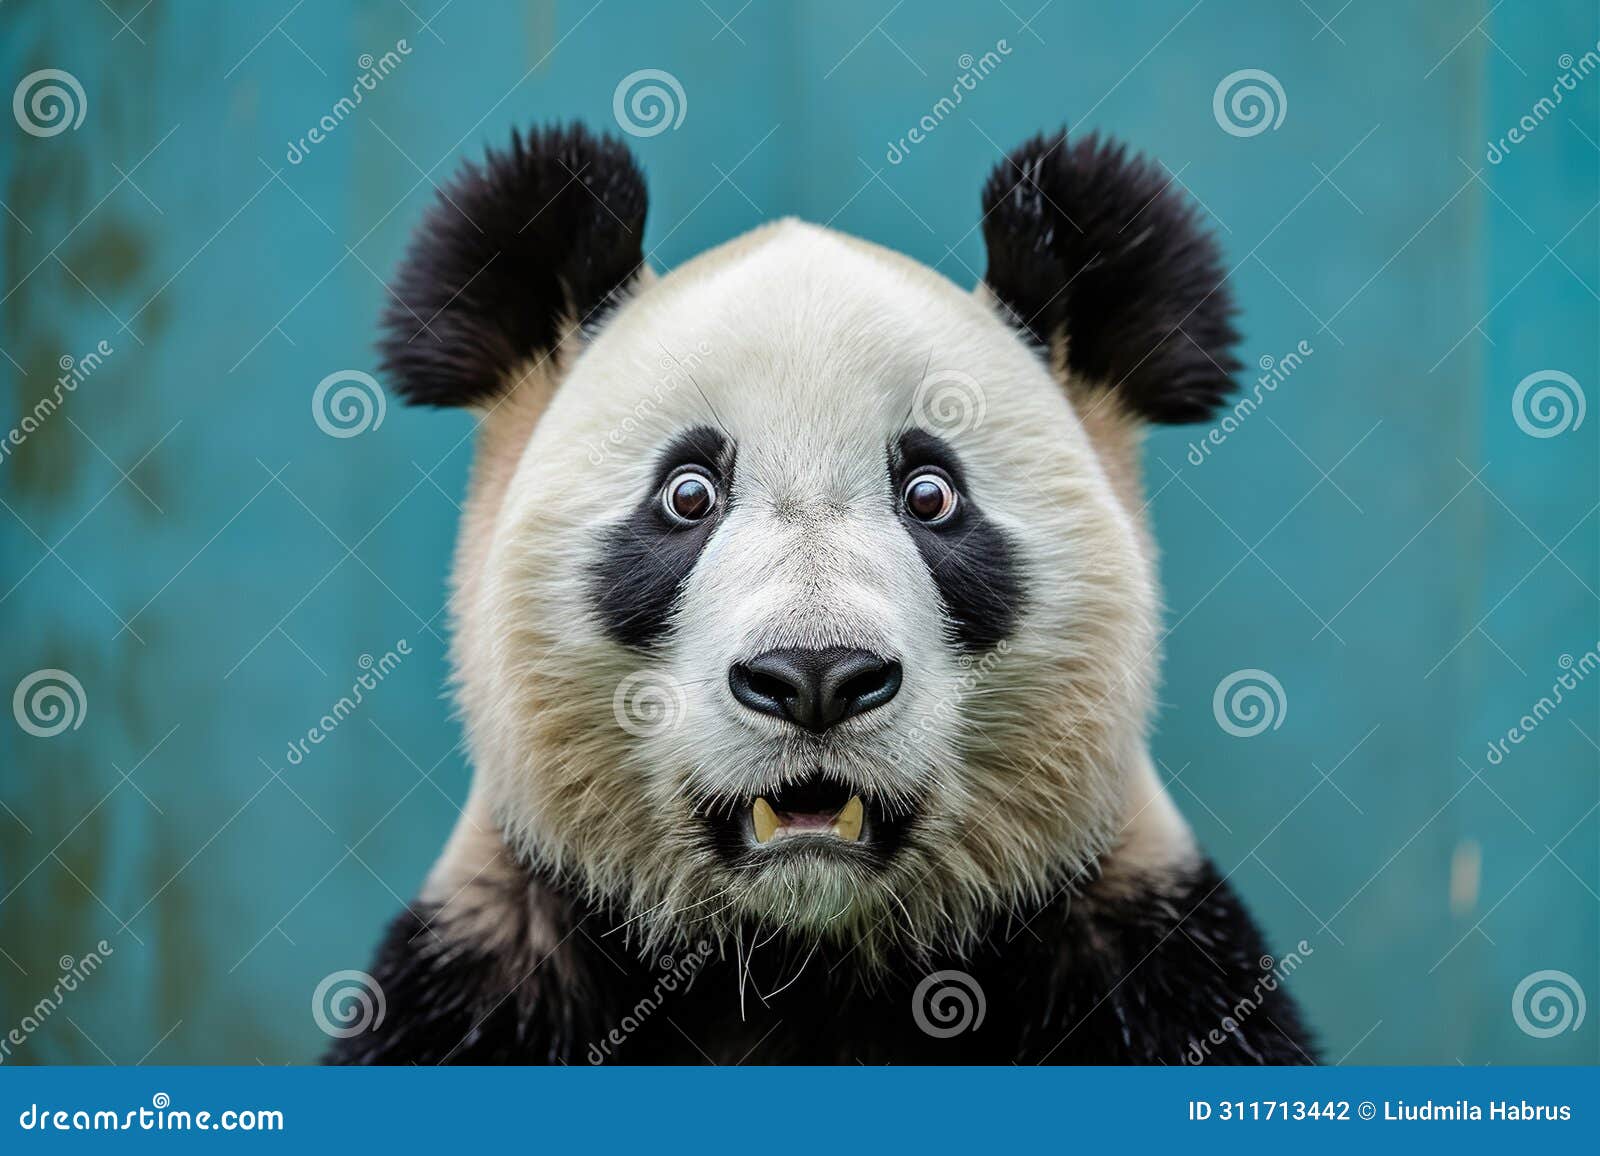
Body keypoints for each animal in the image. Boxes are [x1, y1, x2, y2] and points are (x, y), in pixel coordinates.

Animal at [327, 123, 1316, 1065]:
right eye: (688, 494)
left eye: (932, 495)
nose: (814, 677)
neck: (800, 963)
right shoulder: (493, 965)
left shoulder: (1142, 954)